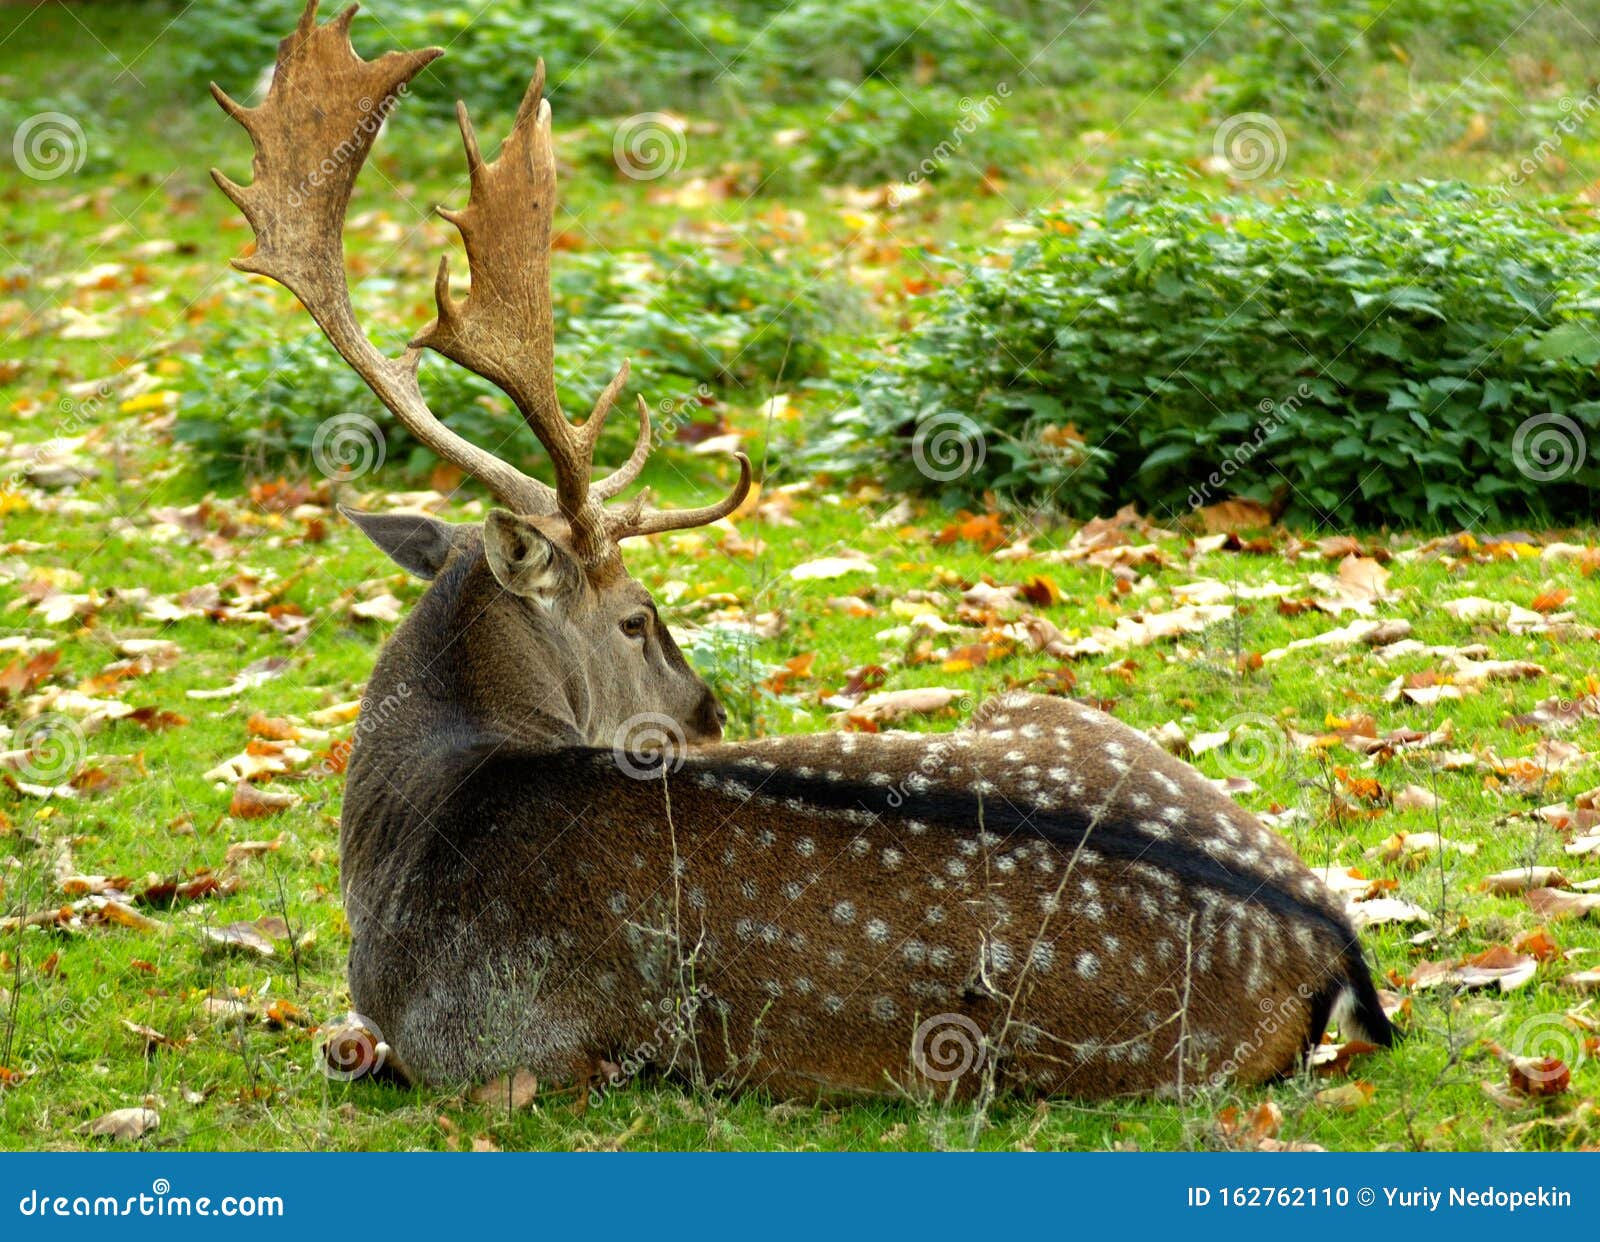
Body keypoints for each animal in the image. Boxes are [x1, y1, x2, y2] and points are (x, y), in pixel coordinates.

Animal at [210, 1, 1393, 1102]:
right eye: (637, 618)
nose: (705, 716)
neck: (415, 825)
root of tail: (1331, 943)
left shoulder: (499, 1053)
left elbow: (344, 1045)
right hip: (1049, 710)